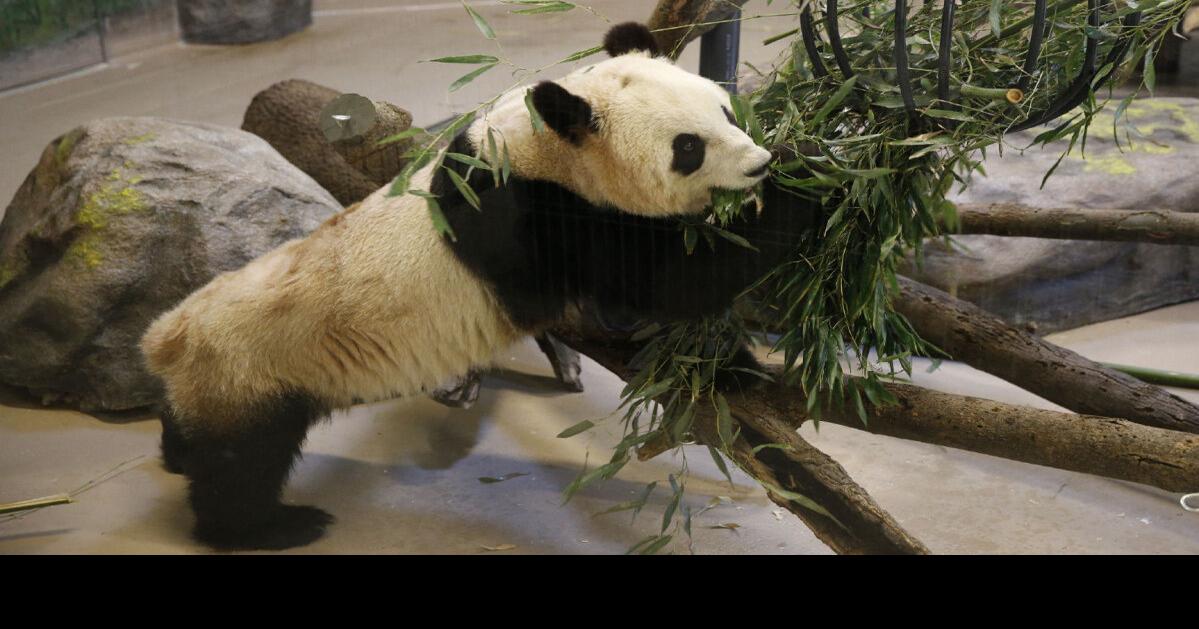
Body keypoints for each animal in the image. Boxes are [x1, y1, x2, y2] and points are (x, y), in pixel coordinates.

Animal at [140, 22, 815, 550]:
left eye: (724, 110)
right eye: (687, 147)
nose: (757, 164)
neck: (542, 146)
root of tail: (164, 338)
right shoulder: (537, 219)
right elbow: (664, 285)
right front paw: (810, 182)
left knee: (199, 439)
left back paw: (176, 453)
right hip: (254, 372)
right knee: (242, 466)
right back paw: (273, 527)